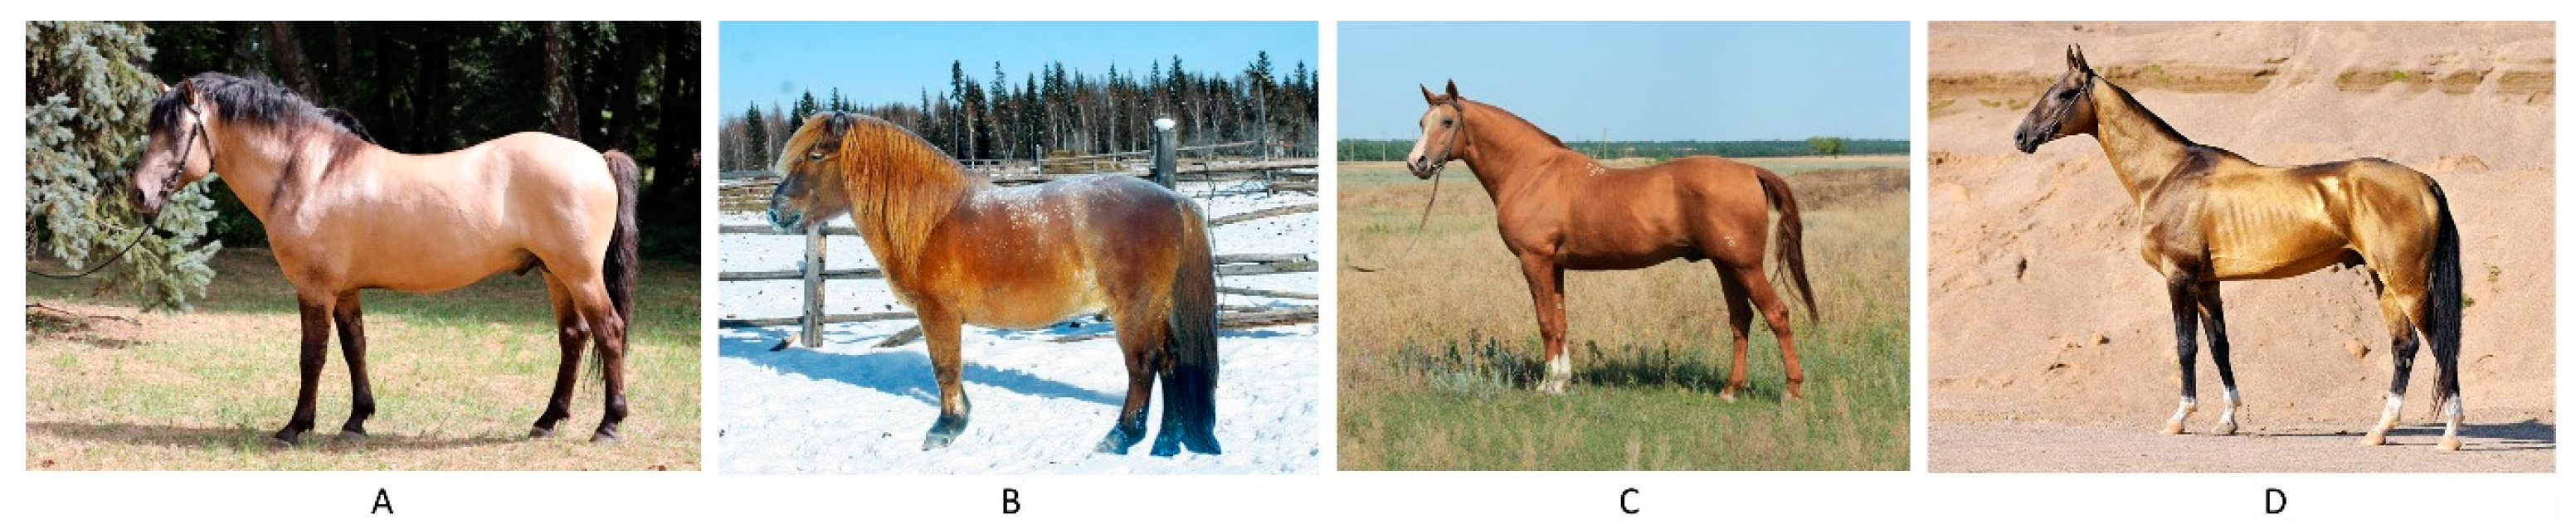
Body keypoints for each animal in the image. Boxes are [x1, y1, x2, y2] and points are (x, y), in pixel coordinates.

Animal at [126, 72, 642, 445]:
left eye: (177, 132)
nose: (139, 194)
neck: (313, 173)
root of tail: (597, 158)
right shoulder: (345, 291)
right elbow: (355, 348)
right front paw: (357, 421)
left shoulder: (315, 289)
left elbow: (312, 356)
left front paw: (295, 427)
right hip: (556, 275)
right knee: (574, 338)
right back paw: (547, 421)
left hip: (581, 275)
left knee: (609, 332)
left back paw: (608, 425)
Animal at [766, 111, 1222, 456]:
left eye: (817, 154)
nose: (775, 212)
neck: (933, 220)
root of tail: (1175, 202)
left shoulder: (938, 313)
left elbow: (945, 367)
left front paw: (947, 426)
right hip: (1156, 309)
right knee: (1170, 362)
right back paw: (1166, 442)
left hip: (1133, 310)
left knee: (1143, 367)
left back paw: (1121, 437)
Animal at [1402, 81, 1818, 399]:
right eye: (1421, 122)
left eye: (1448, 121)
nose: (1416, 163)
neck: (1533, 172)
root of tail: (1749, 170)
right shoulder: (1555, 266)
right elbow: (1560, 320)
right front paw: (1562, 382)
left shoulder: (1535, 260)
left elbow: (1545, 322)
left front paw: (1546, 387)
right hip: (1725, 265)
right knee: (1741, 319)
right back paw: (1730, 390)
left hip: (1744, 265)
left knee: (1777, 314)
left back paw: (1792, 391)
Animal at [2011, 46, 2467, 450]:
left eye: (2064, 93)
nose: (2021, 136)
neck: (2167, 175)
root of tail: (2425, 182)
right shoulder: (2207, 284)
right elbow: (2219, 346)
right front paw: (2227, 420)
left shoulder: (2179, 277)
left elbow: (2186, 346)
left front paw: (2180, 418)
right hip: (2383, 281)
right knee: (2404, 346)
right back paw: (2380, 430)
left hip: (2407, 284)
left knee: (2440, 344)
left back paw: (2449, 435)